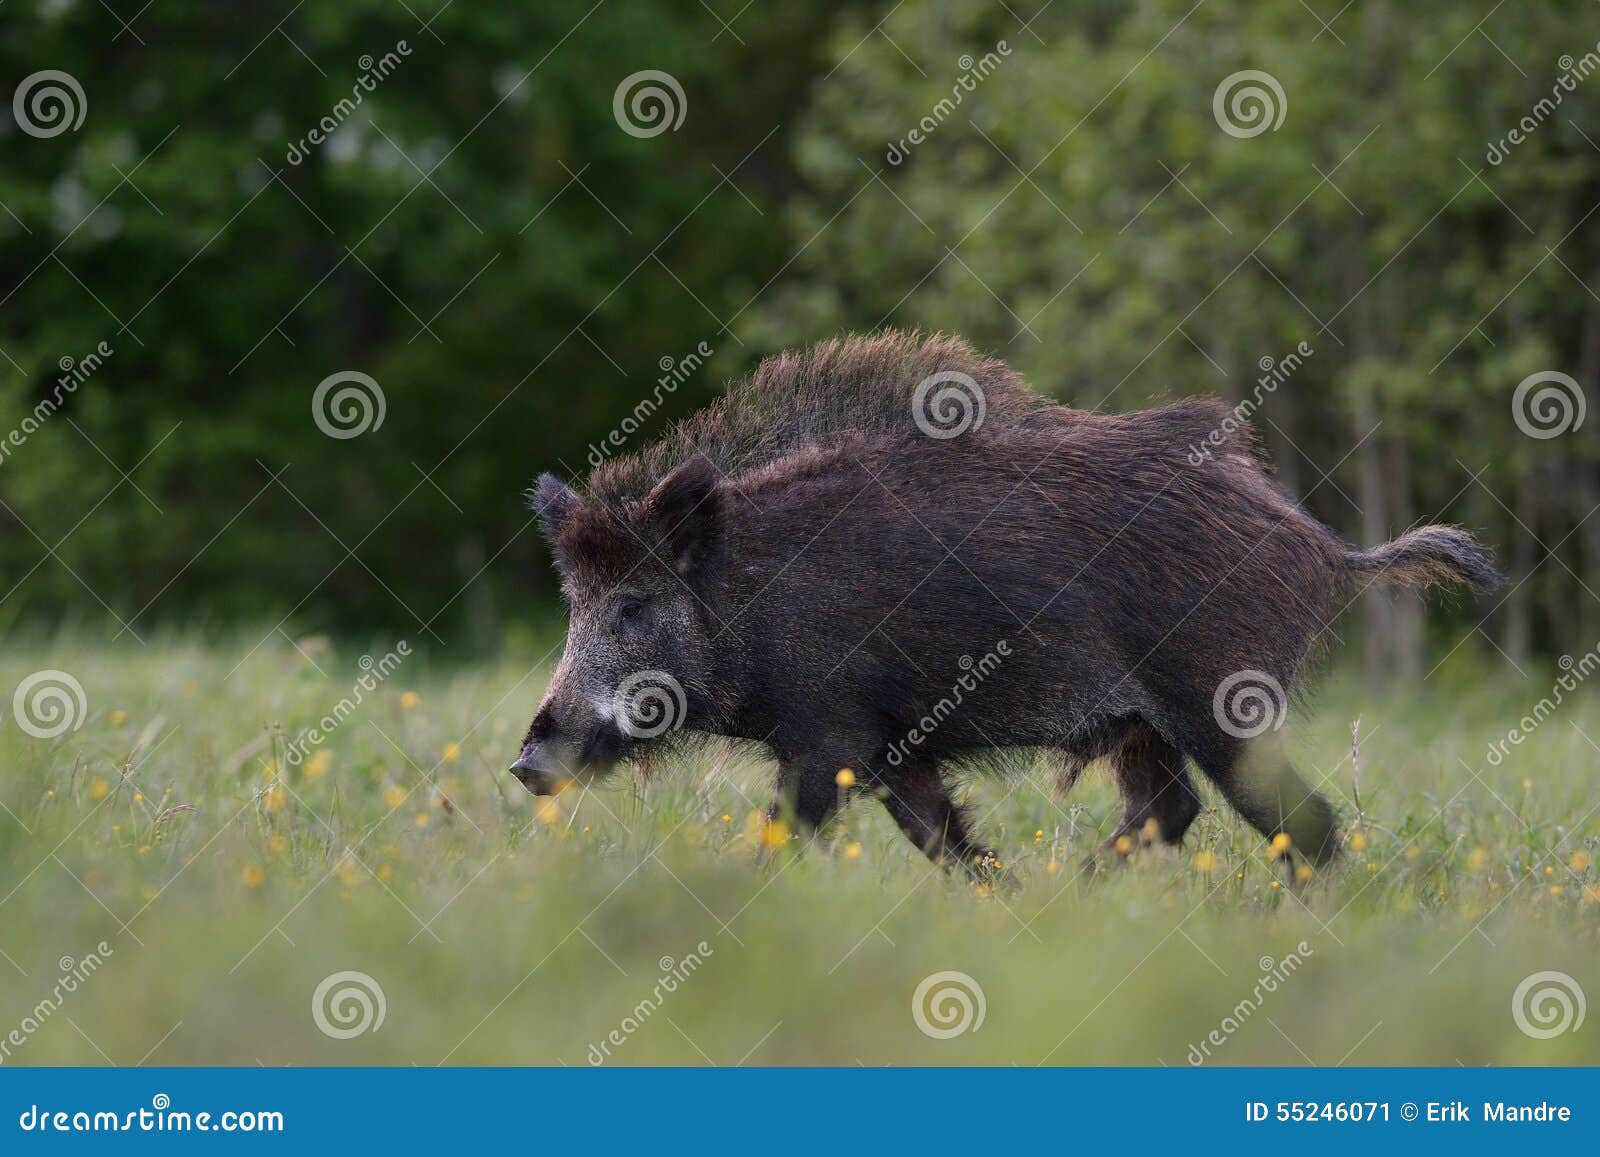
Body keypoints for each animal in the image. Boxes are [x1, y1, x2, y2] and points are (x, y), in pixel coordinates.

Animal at [510, 331, 1501, 876]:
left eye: (632, 607)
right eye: (573, 604)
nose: (525, 762)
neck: (746, 600)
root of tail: (1324, 547)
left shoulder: (828, 733)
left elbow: (788, 834)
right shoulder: (892, 747)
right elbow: (948, 843)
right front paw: (1011, 902)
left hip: (1222, 699)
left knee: (1304, 823)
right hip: (1143, 723)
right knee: (1171, 809)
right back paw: (1079, 897)